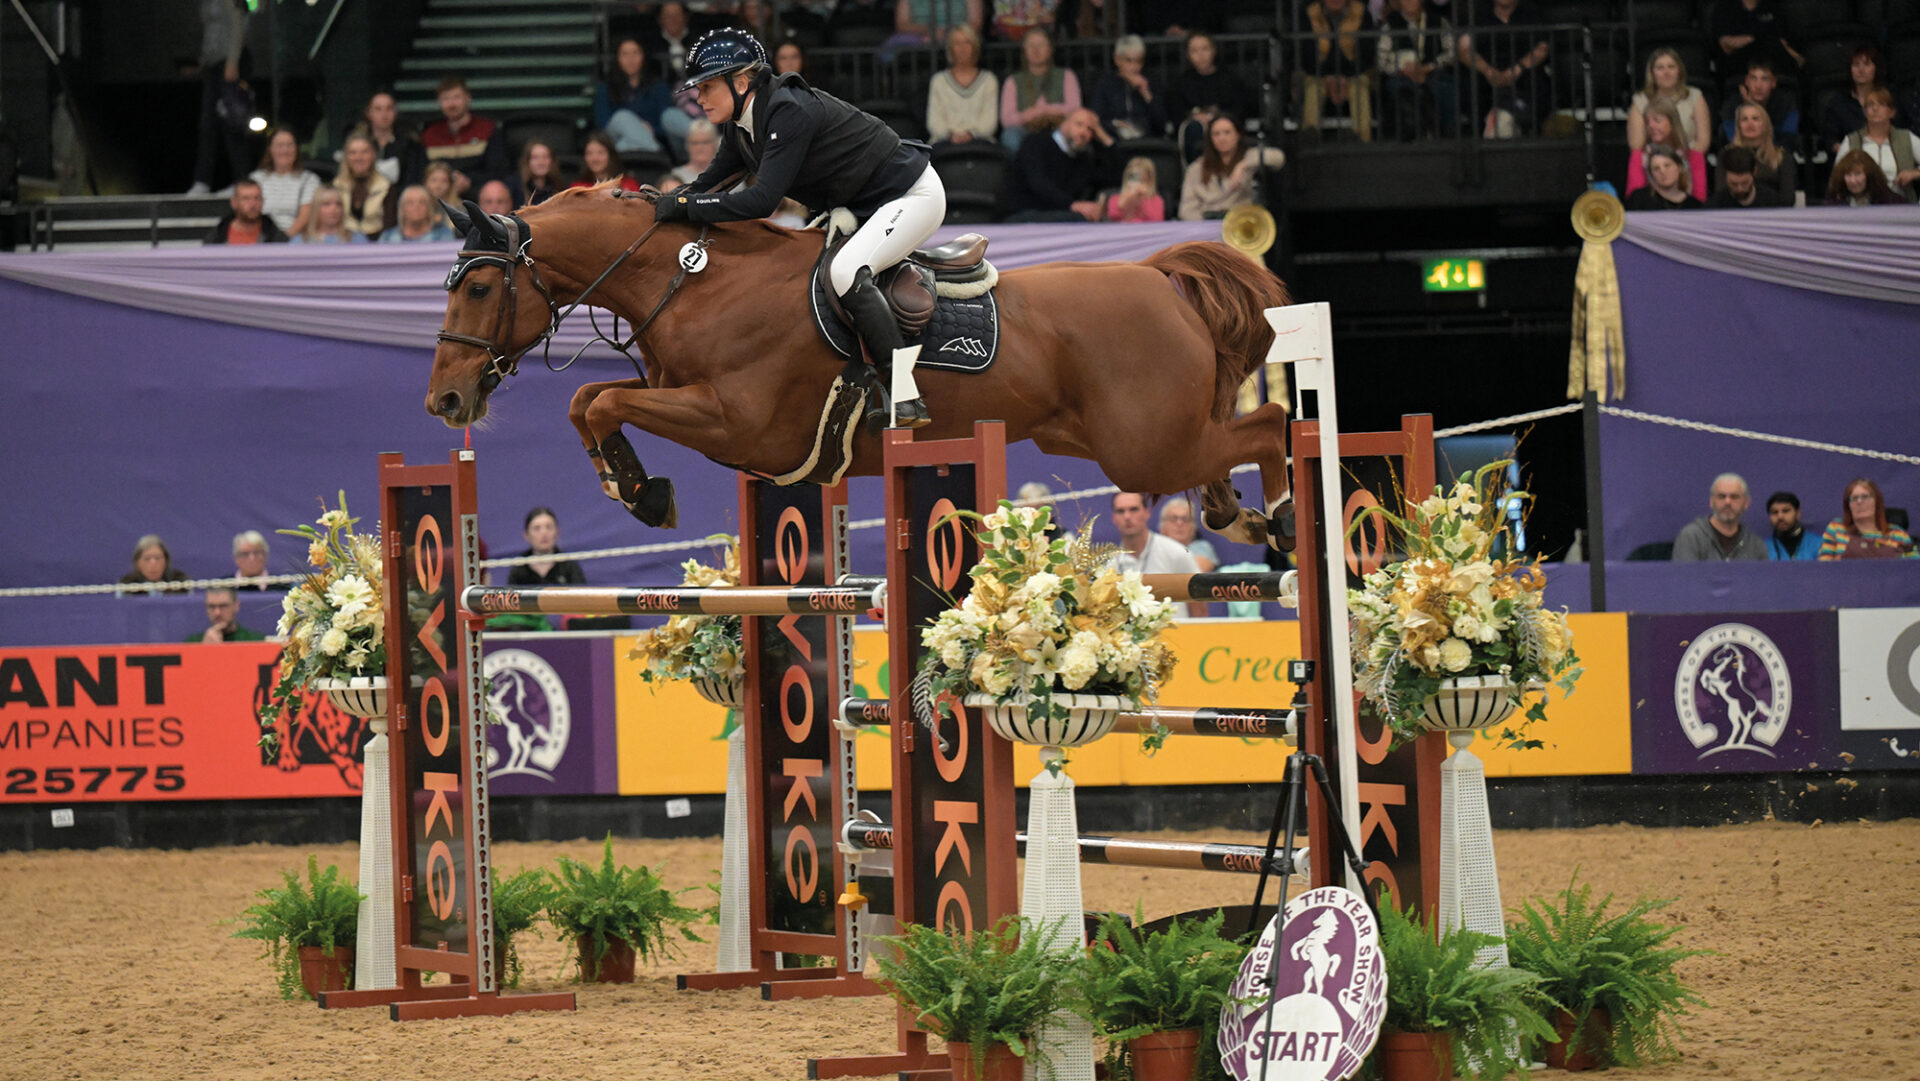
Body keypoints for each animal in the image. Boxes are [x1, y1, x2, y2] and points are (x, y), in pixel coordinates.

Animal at [424, 185, 1295, 547]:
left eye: (477, 286)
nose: (444, 401)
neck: (696, 281)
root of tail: (1155, 276)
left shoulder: (738, 424)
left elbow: (602, 404)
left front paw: (644, 495)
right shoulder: (680, 396)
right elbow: (590, 402)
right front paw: (633, 484)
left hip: (1140, 447)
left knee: (1270, 420)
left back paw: (1279, 515)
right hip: (1094, 438)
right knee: (1228, 441)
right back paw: (1233, 511)